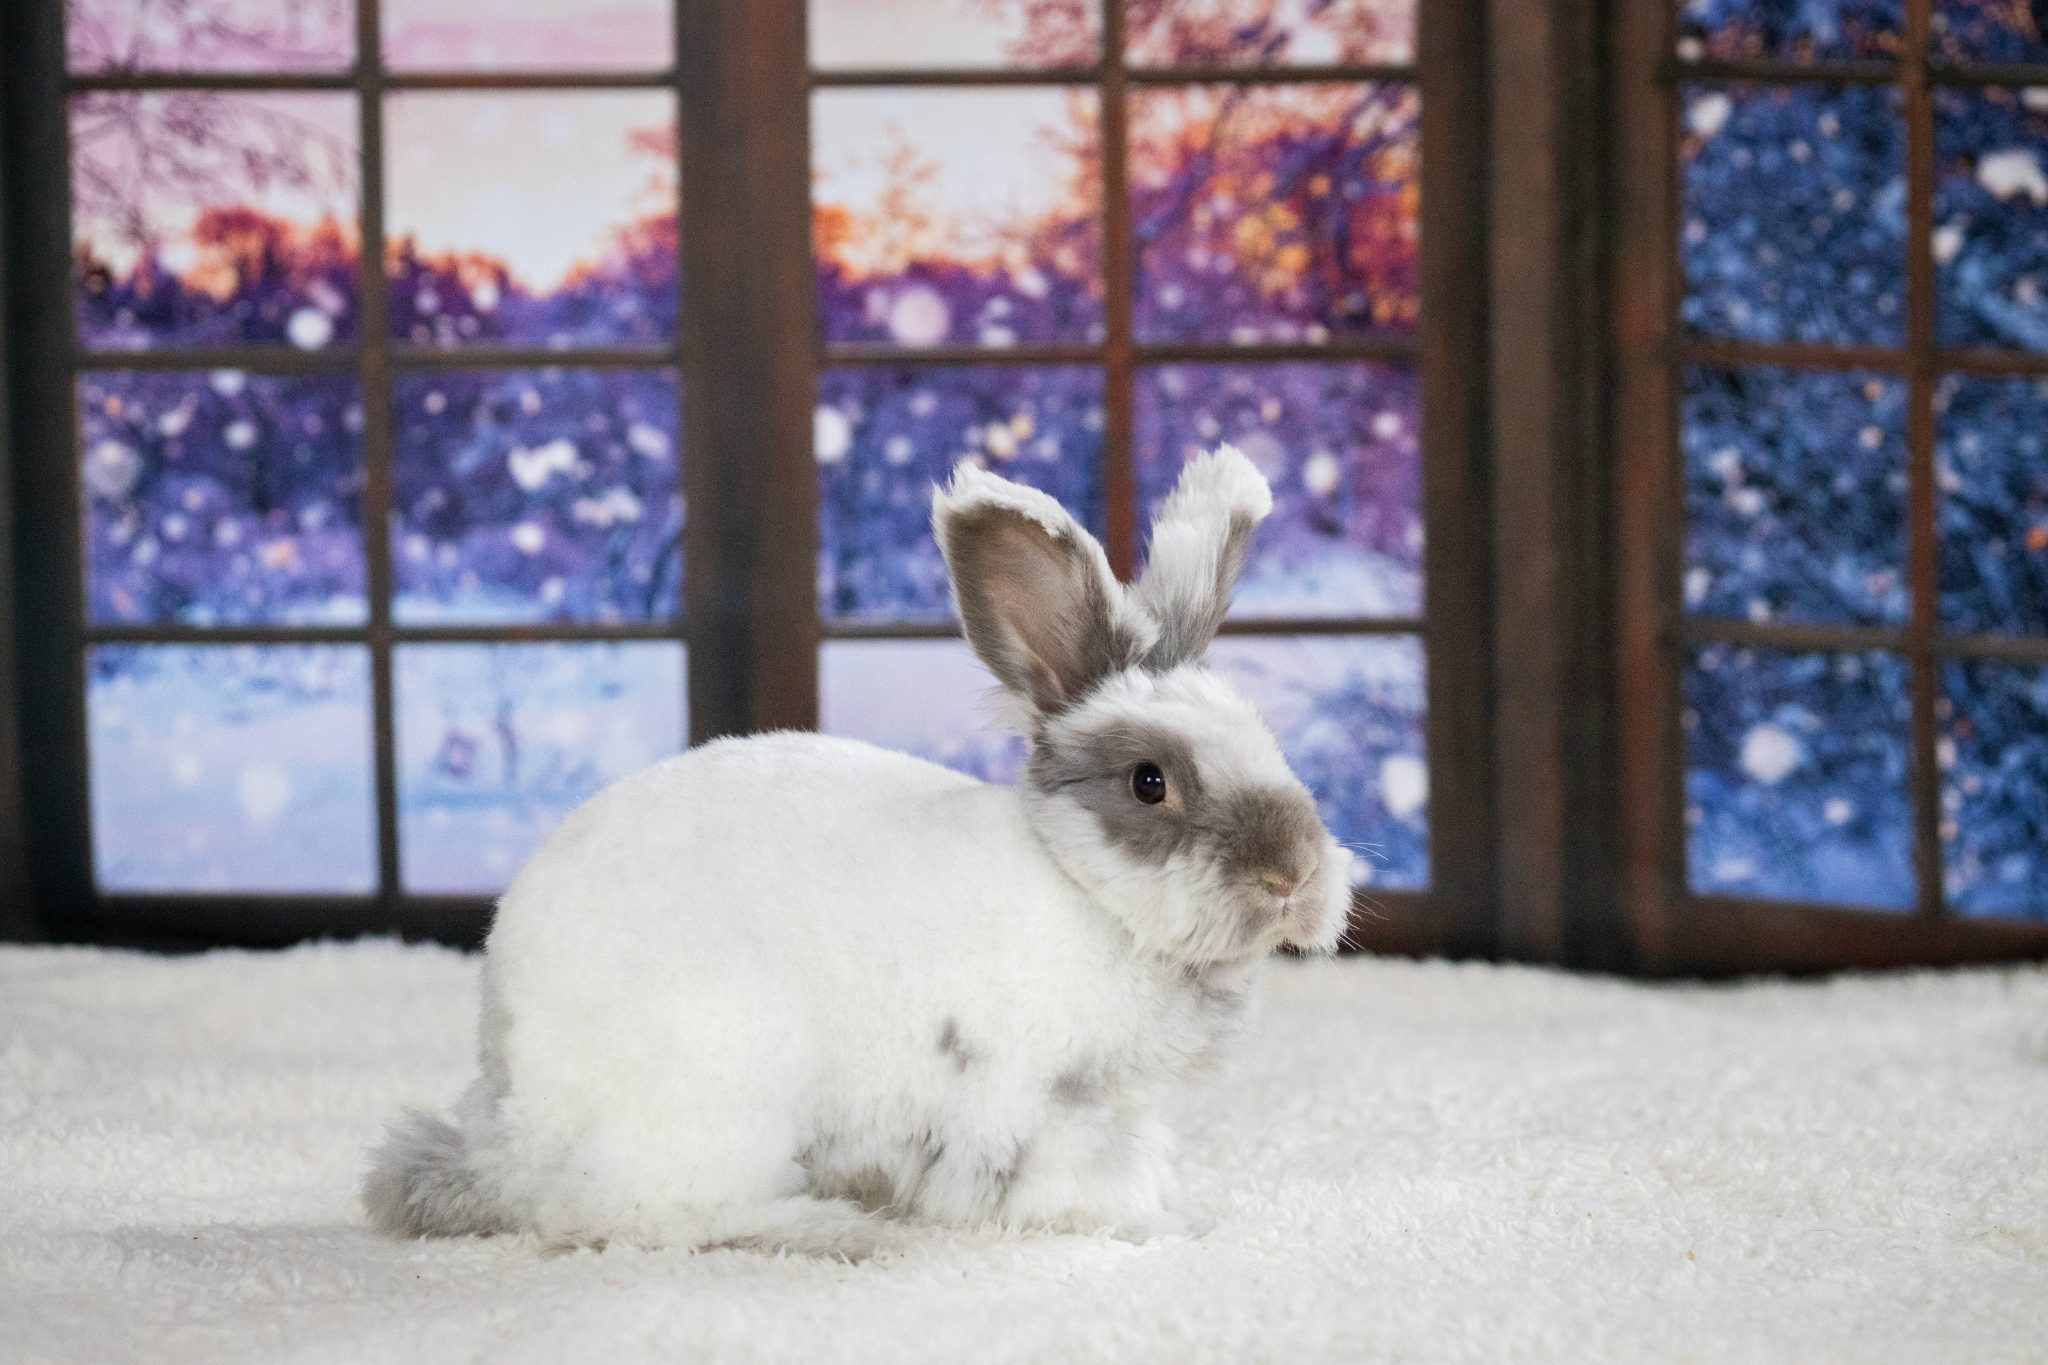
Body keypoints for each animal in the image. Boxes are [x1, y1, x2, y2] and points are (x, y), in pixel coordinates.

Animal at [363, 445, 1355, 1257]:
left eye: (1269, 741)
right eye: (1151, 781)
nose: (1293, 872)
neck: (1092, 899)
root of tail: (512, 1121)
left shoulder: (1115, 1108)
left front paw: (1178, 1207)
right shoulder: (1031, 1102)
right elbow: (1063, 1184)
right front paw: (1151, 1224)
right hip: (726, 1090)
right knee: (635, 1215)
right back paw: (836, 1231)